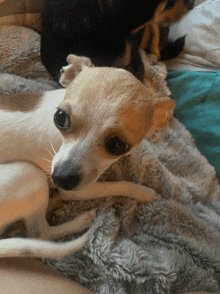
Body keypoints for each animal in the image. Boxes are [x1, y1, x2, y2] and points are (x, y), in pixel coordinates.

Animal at [0, 53, 176, 260]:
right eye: (60, 117)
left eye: (117, 145)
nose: (60, 179)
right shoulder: (77, 190)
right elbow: (119, 185)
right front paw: (144, 192)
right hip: (30, 175)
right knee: (40, 235)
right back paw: (81, 220)